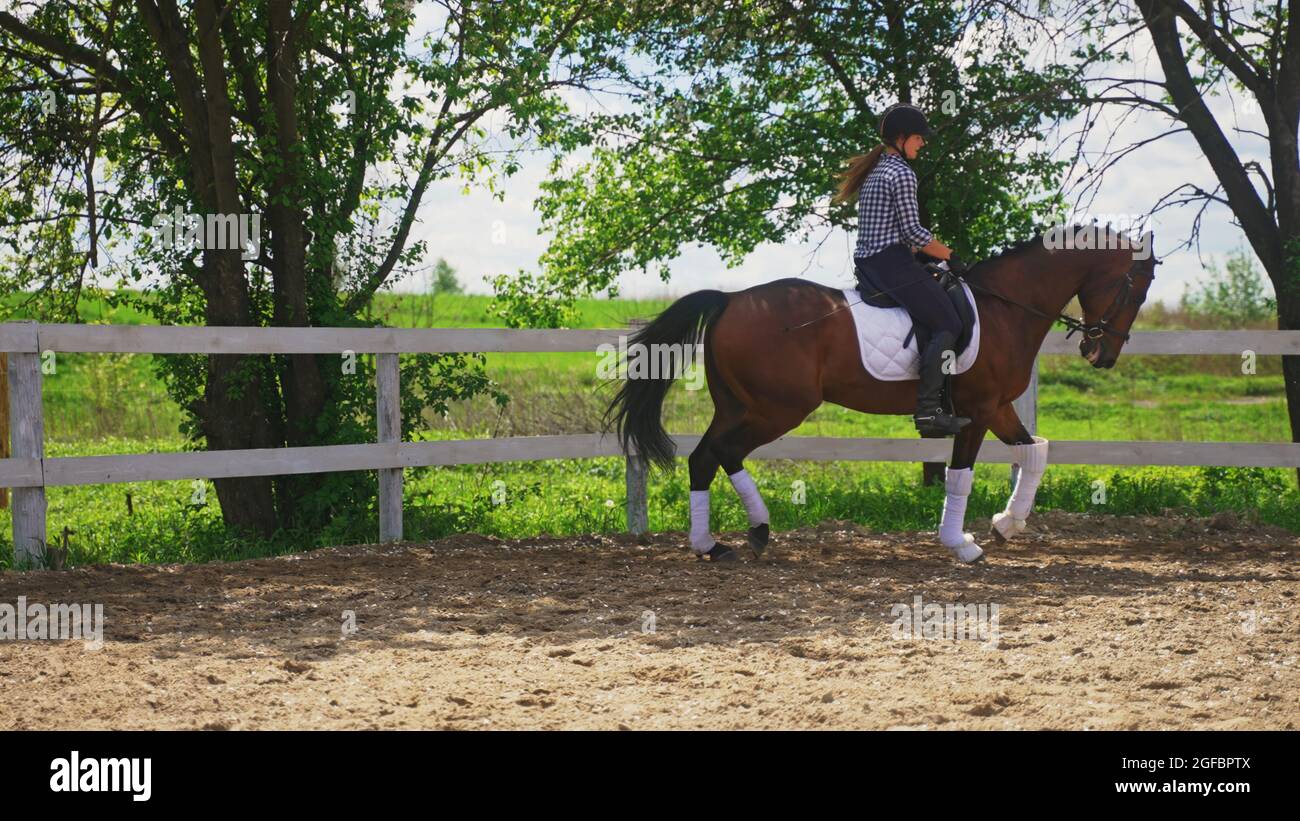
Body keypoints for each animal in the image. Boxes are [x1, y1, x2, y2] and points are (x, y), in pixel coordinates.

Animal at [604, 227, 1159, 563]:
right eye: (1138, 287)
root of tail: (731, 300)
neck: (1005, 307)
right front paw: (961, 544)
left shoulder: (998, 407)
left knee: (706, 456)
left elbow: (1036, 453)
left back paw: (716, 542)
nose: (1102, 354)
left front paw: (1008, 523)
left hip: (739, 405)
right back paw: (748, 532)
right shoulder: (976, 411)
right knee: (722, 452)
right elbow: (961, 475)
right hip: (777, 409)